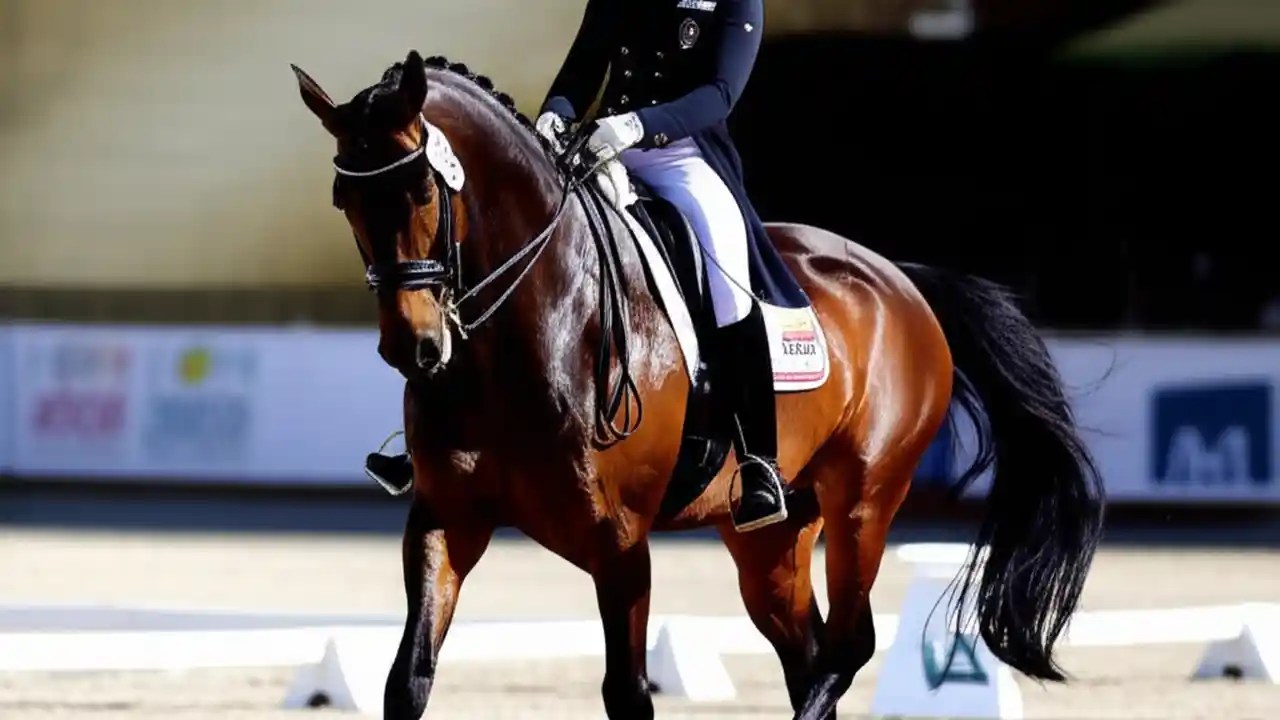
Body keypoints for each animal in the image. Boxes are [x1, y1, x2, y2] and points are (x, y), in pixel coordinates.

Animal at [290, 50, 1105, 719]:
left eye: (425, 190)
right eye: (343, 201)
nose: (415, 347)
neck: (532, 325)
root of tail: (901, 280)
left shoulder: (620, 541)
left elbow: (627, 695)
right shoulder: (444, 518)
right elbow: (408, 681)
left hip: (864, 500)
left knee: (846, 650)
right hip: (771, 534)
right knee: (810, 656)